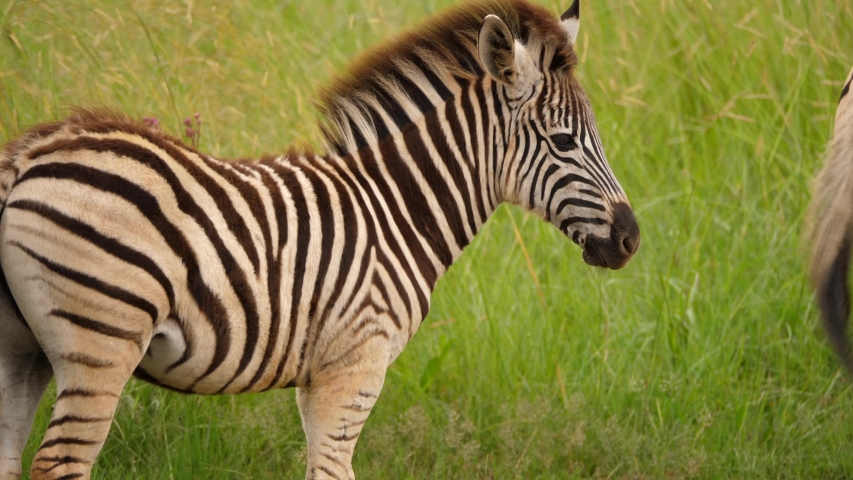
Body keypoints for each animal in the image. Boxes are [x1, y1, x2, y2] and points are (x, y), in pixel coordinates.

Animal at [0, 0, 639, 478]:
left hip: (21, 350)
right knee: (58, 463)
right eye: (563, 141)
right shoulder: (354, 367)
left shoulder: (319, 379)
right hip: (102, 340)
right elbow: (334, 470)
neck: (395, 208)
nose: (631, 239)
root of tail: (32, 155)